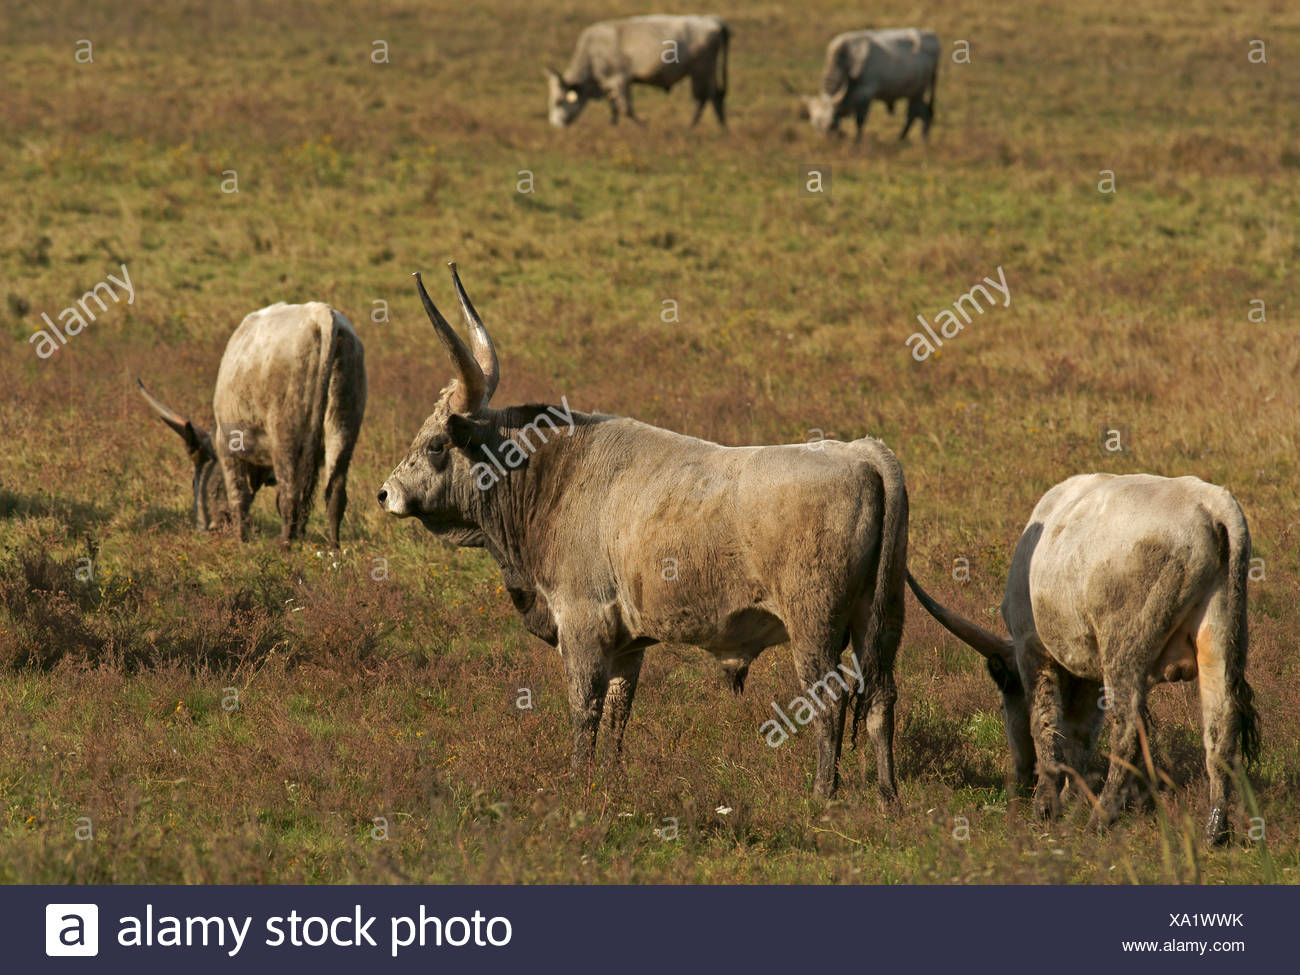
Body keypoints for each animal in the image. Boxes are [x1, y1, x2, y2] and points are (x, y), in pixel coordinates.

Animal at [138, 302, 366, 548]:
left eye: (193, 482)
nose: (205, 527)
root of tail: (321, 314)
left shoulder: (229, 447)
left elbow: (238, 495)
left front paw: (241, 539)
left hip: (285, 436)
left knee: (289, 491)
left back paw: (285, 545)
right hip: (342, 428)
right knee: (334, 491)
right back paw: (333, 546)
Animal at [378, 265, 909, 806]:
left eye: (436, 444)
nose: (385, 493)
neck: (552, 475)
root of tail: (862, 453)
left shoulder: (583, 626)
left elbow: (585, 710)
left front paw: (578, 782)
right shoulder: (627, 645)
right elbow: (618, 713)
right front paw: (609, 780)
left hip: (813, 623)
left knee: (831, 700)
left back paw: (824, 794)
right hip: (881, 617)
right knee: (881, 696)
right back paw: (886, 795)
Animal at [545, 15, 730, 127]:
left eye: (559, 101)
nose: (555, 124)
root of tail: (714, 21)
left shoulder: (619, 79)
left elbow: (626, 108)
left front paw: (643, 125)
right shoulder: (610, 82)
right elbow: (614, 107)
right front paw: (613, 126)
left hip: (700, 70)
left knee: (702, 99)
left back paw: (690, 128)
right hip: (707, 71)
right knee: (716, 97)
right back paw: (722, 130)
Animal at [797, 28, 939, 140]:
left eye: (832, 124)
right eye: (816, 125)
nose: (829, 140)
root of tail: (932, 37)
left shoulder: (866, 93)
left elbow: (860, 121)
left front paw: (857, 142)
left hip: (919, 91)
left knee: (915, 114)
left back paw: (911, 139)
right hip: (914, 92)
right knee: (920, 113)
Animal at [906, 473, 1260, 844]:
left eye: (1005, 686)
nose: (1022, 776)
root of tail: (1212, 504)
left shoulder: (1034, 650)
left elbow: (1045, 725)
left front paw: (1046, 807)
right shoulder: (1088, 671)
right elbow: (1080, 734)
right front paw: (1069, 799)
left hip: (1124, 649)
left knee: (1128, 733)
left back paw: (1100, 819)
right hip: (1219, 635)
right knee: (1221, 728)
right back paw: (1215, 831)